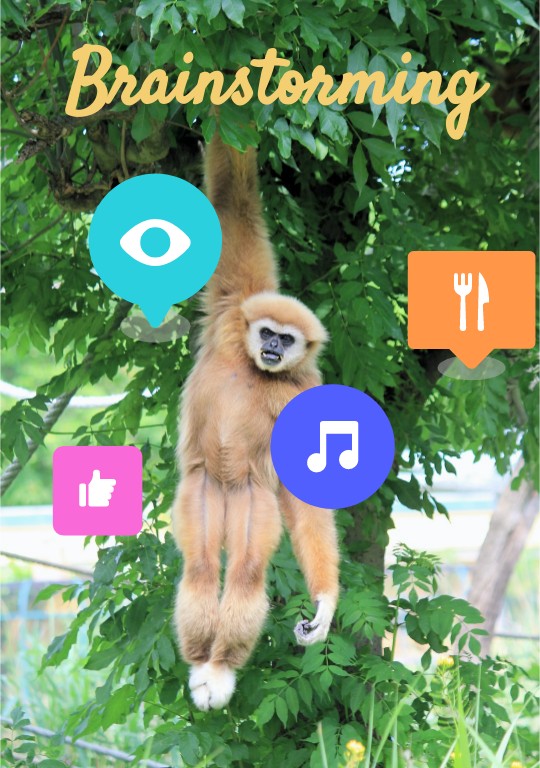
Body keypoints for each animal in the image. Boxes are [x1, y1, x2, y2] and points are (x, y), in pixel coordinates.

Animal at [171, 131, 339, 711]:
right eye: (267, 331)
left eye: (286, 340)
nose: (271, 348)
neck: (254, 368)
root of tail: (225, 489)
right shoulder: (234, 305)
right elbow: (233, 206)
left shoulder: (306, 390)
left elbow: (308, 492)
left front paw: (325, 603)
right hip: (199, 490)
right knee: (202, 566)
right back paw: (203, 659)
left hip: (250, 498)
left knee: (244, 571)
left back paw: (219, 667)